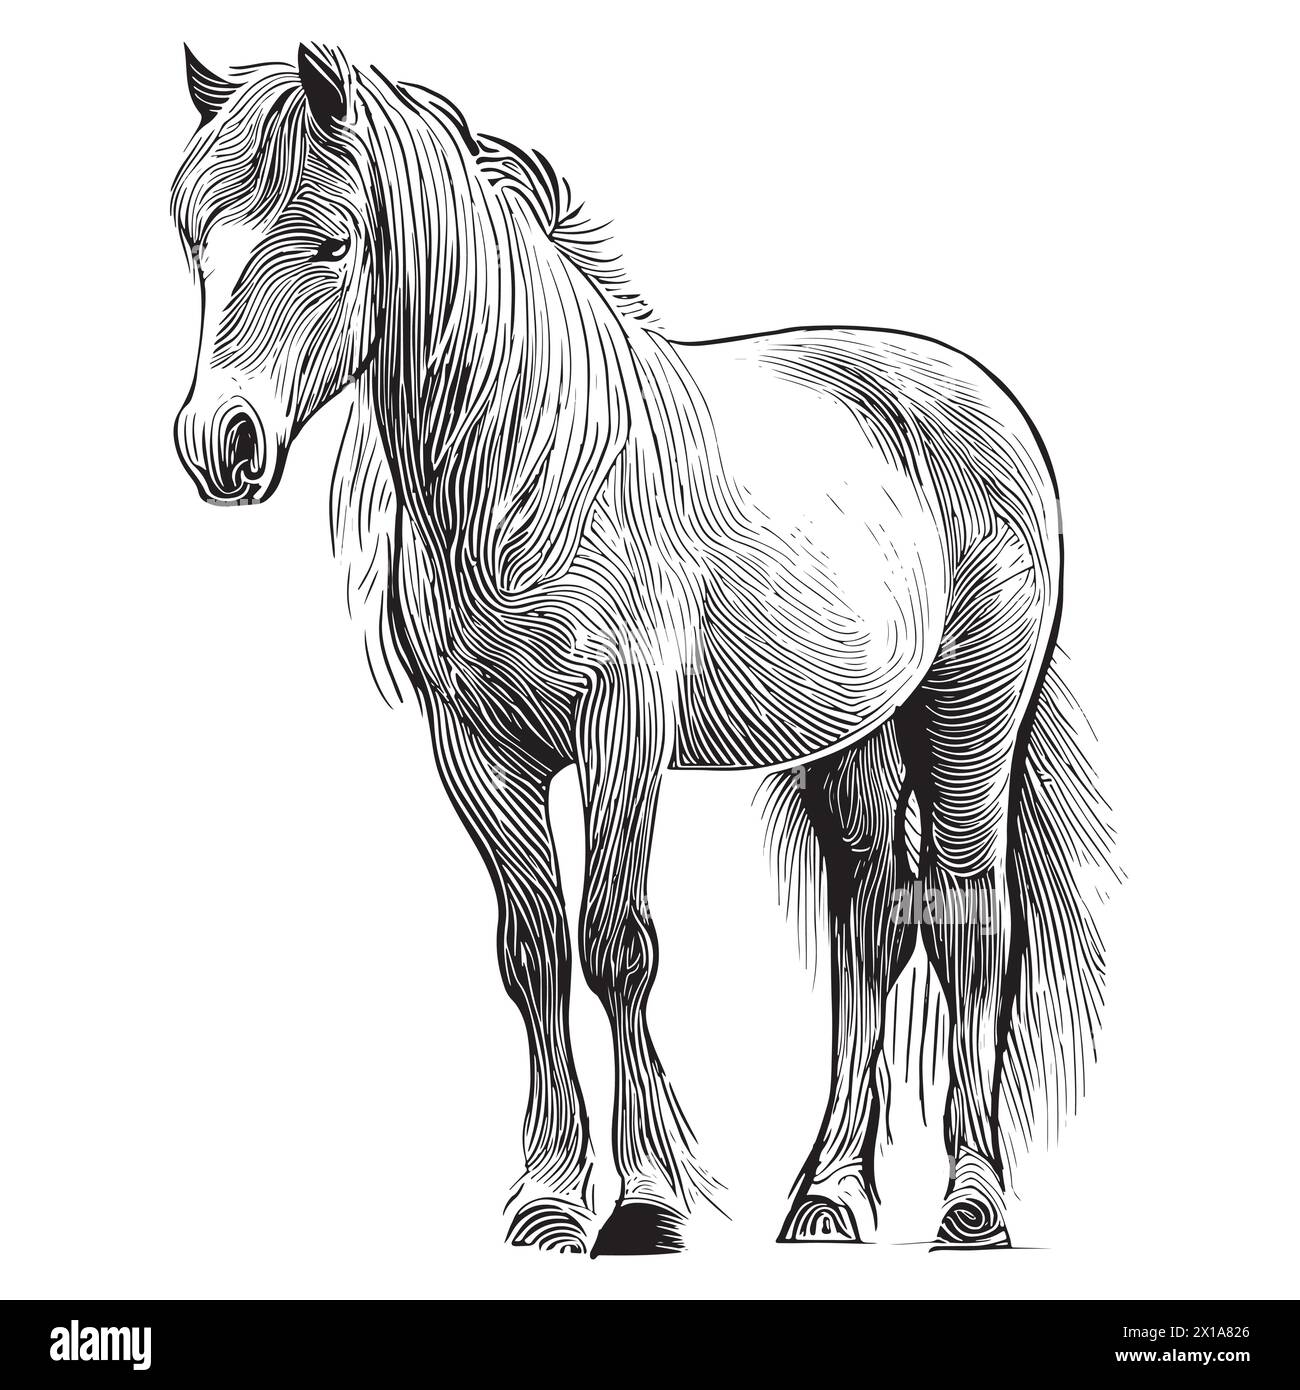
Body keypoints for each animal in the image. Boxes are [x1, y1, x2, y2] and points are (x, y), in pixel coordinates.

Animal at [171, 43, 1114, 1256]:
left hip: (966, 722)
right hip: (851, 742)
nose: (218, 442)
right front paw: (544, 1198)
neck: (529, 465)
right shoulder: (478, 749)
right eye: (195, 238)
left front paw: (647, 1202)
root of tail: (977, 395)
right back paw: (828, 1195)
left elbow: (617, 943)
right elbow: (531, 950)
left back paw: (971, 1201)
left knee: (968, 920)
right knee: (868, 927)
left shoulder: (624, 731)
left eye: (331, 241)